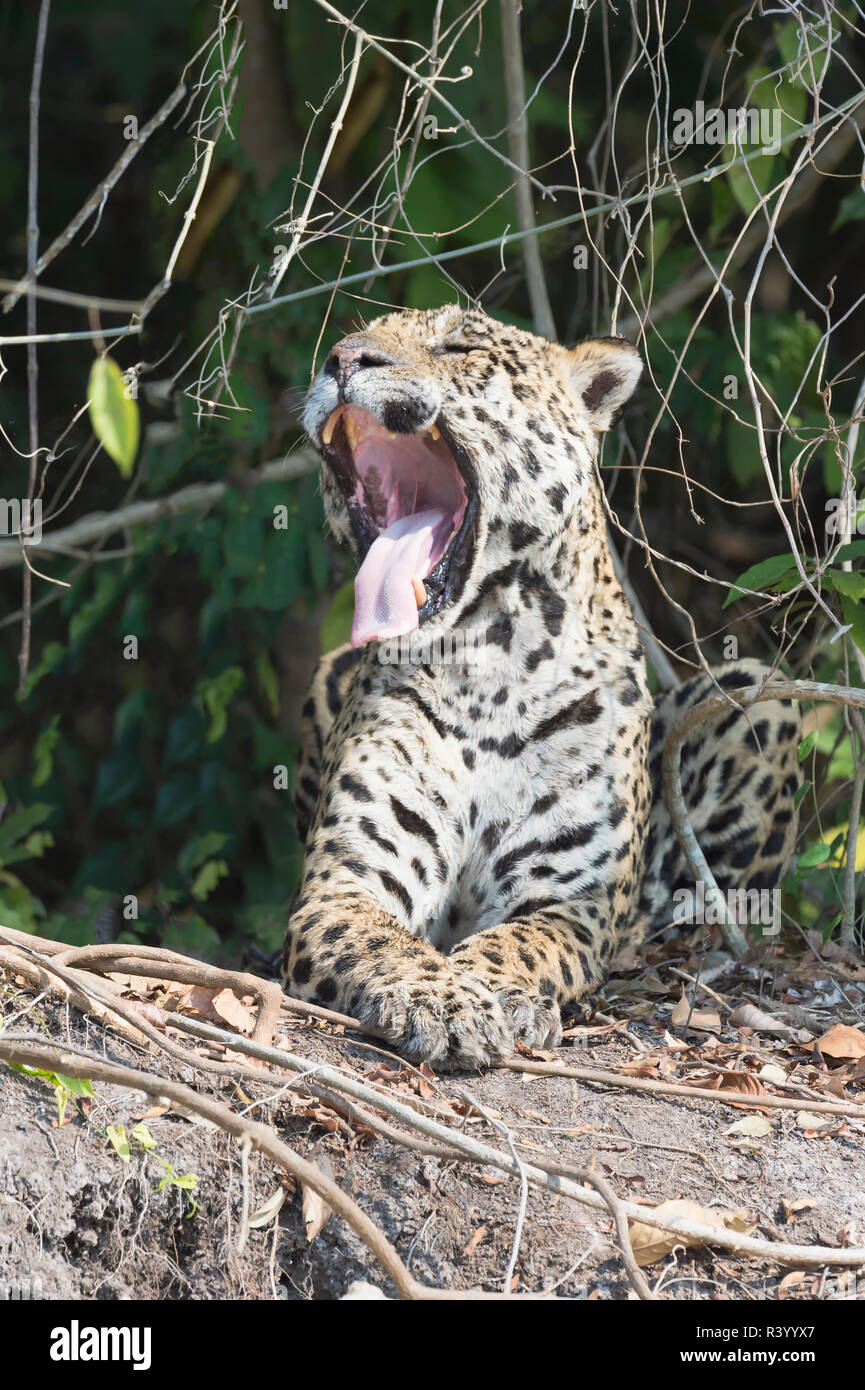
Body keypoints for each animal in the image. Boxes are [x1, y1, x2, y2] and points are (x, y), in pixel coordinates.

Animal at [281, 304, 801, 1070]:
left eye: (459, 345)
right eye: (348, 341)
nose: (343, 360)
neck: (486, 671)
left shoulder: (571, 901)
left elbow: (519, 943)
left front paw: (492, 995)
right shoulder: (345, 883)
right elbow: (380, 941)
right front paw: (442, 999)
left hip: (756, 695)